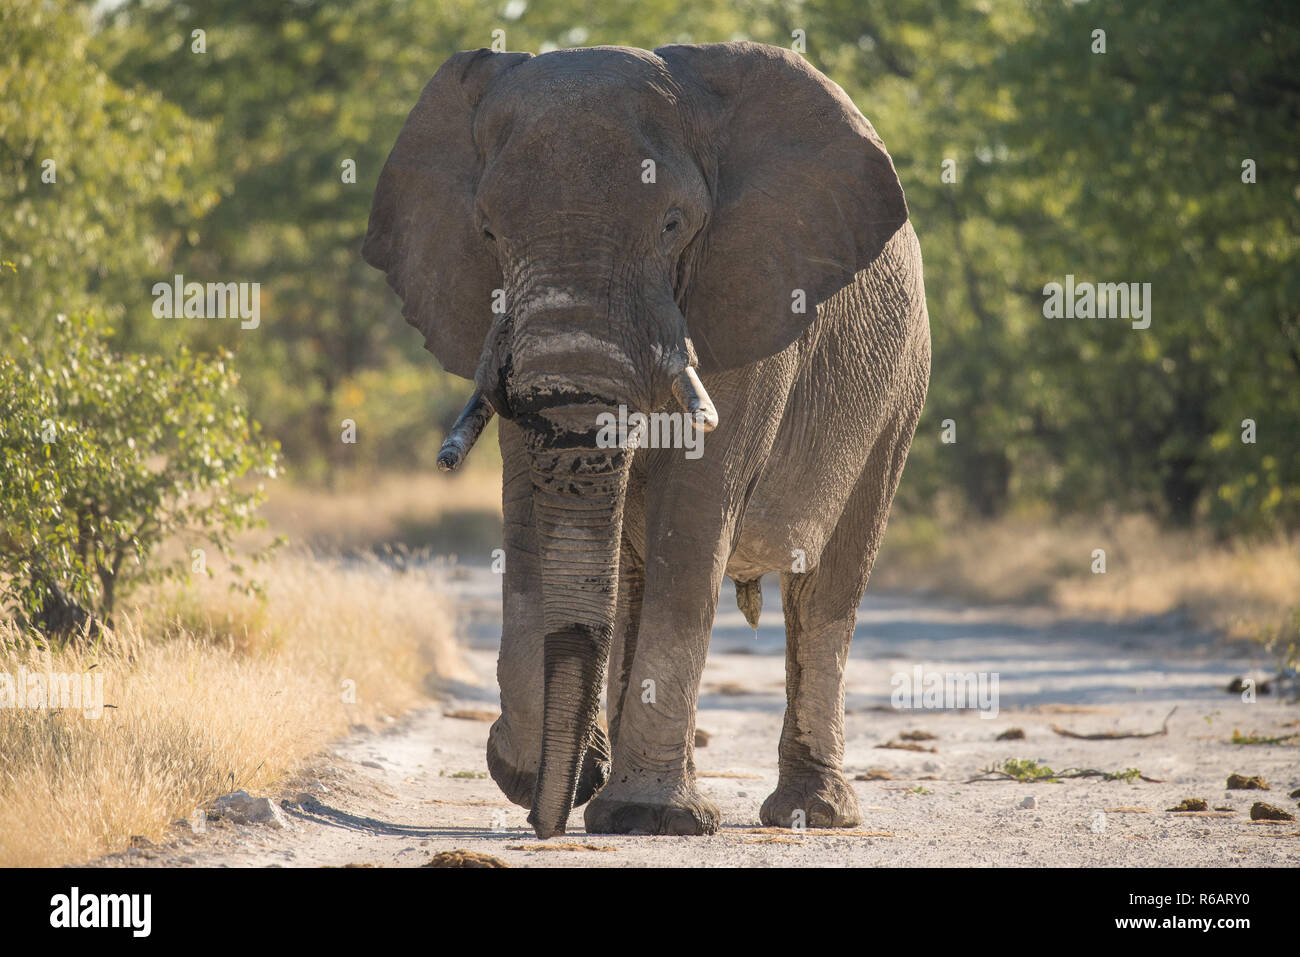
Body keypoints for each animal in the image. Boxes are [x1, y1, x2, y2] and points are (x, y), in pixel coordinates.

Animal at [363, 41, 930, 838]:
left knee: (826, 587)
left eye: (673, 224)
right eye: (488, 232)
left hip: (900, 390)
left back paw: (811, 813)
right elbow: (529, 516)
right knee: (633, 580)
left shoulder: (746, 299)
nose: (546, 818)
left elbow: (691, 522)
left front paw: (643, 814)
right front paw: (547, 773)